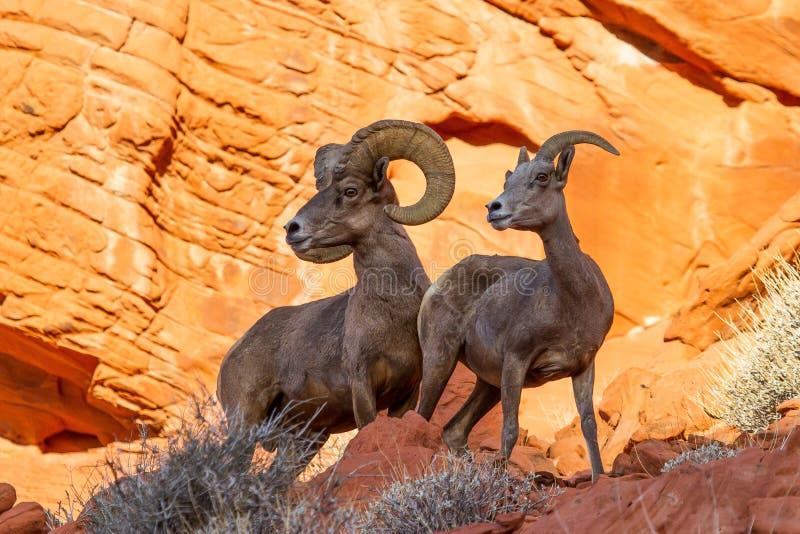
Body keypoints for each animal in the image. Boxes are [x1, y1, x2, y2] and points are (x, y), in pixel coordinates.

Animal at [217, 119, 455, 474]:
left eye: (350, 191)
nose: (292, 229)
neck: (393, 313)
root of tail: (234, 352)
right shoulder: (362, 386)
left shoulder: (406, 395)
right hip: (245, 423)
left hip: (305, 440)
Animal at [416, 130, 619, 482]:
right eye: (508, 179)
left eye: (542, 177)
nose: (493, 208)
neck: (572, 303)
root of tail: (439, 283)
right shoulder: (516, 361)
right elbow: (509, 430)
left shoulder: (584, 366)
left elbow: (589, 426)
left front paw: (598, 479)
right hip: (440, 362)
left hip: (486, 384)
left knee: (454, 431)